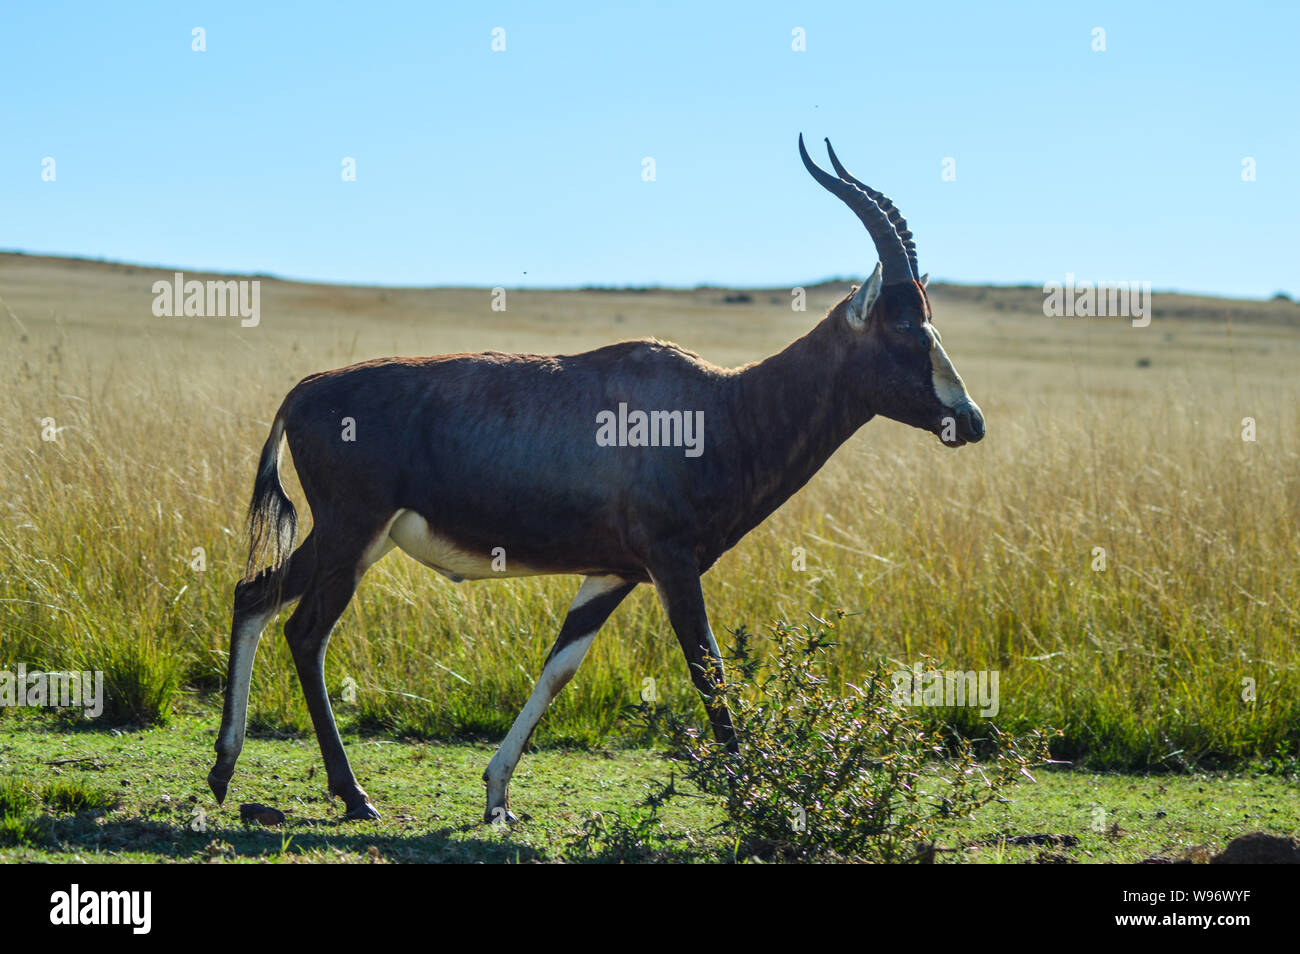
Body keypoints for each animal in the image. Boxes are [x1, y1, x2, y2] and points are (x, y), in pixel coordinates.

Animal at [208, 135, 986, 823]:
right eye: (907, 329)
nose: (970, 421)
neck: (720, 404)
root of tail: (303, 392)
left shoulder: (612, 574)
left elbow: (559, 668)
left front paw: (497, 796)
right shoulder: (672, 566)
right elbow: (708, 672)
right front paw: (756, 807)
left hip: (343, 538)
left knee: (254, 595)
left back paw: (223, 772)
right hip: (353, 535)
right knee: (304, 631)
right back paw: (352, 796)